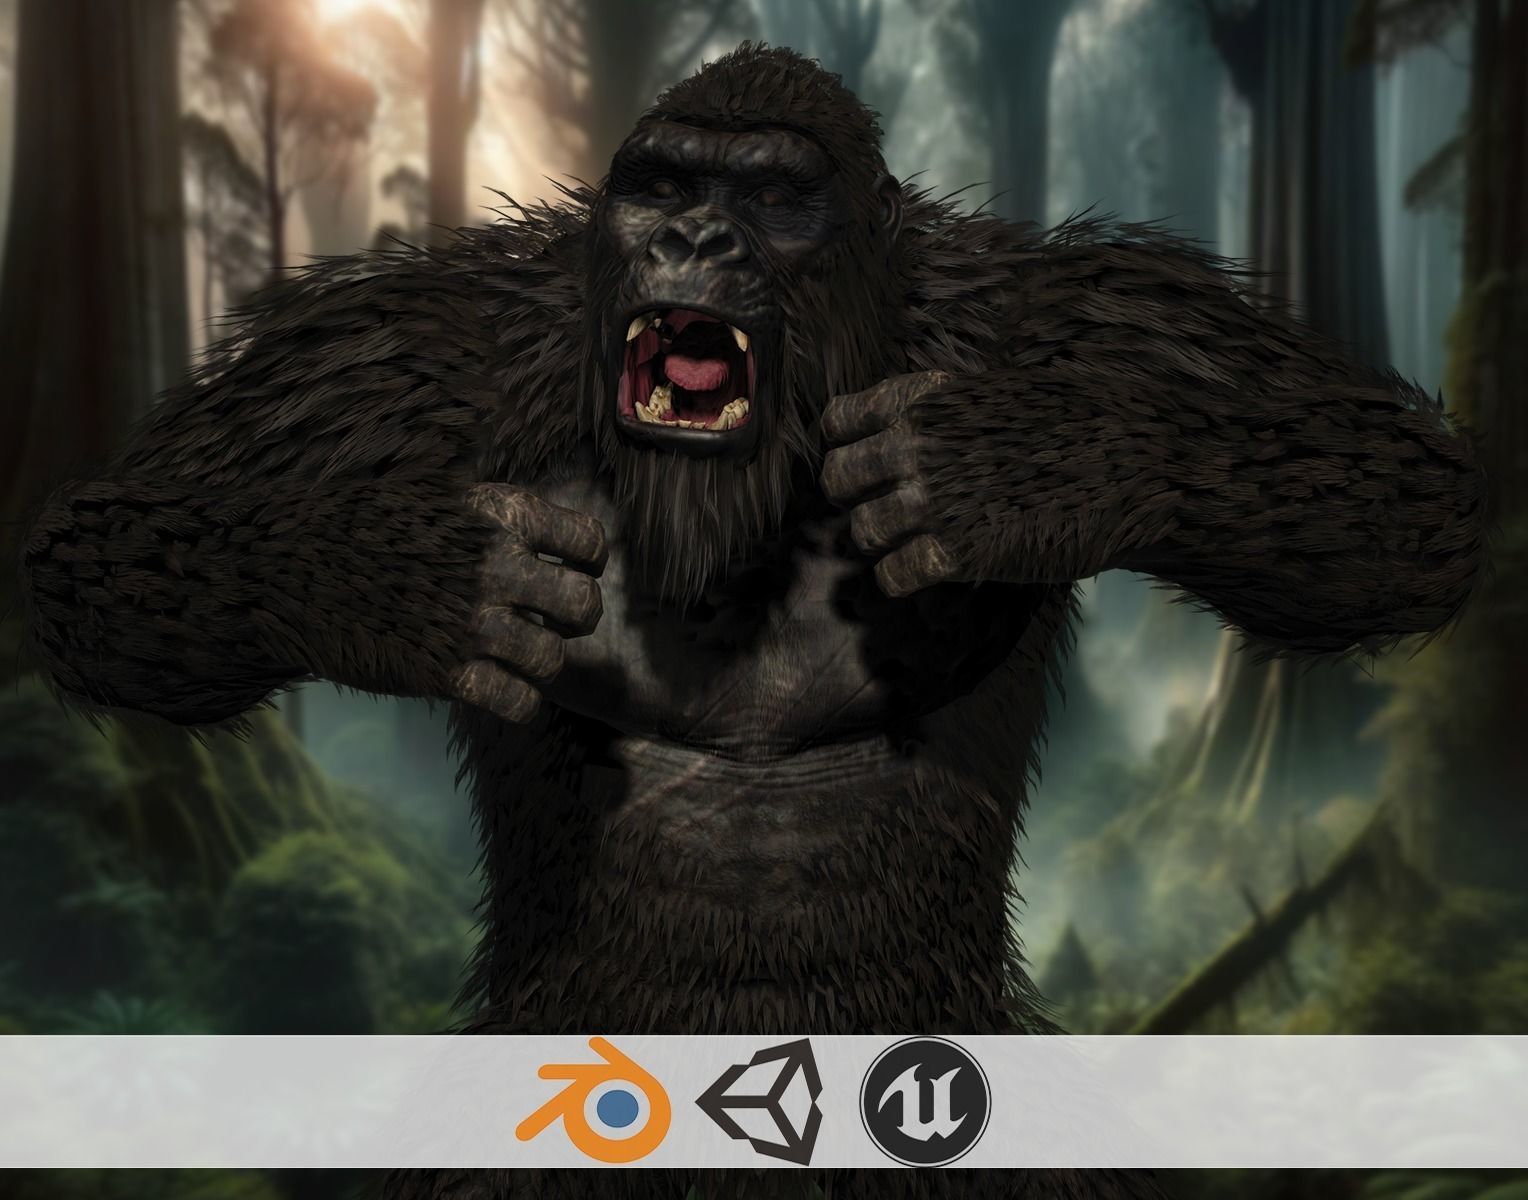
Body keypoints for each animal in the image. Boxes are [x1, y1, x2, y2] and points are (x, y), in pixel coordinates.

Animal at [18, 43, 1486, 1200]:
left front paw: (1025, 462)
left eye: (773, 200)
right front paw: (411, 574)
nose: (697, 244)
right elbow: (114, 547)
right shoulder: (420, 346)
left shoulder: (1076, 321)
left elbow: (1403, 494)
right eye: (666, 188)